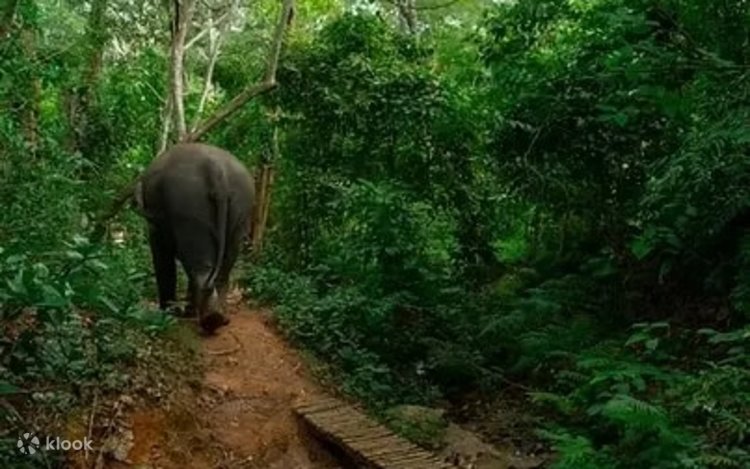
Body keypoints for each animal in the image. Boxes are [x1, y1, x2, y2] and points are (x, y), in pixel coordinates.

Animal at [133, 143, 255, 334]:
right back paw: (219, 318)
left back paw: (204, 318)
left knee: (199, 265)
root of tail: (216, 170)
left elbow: (162, 257)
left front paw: (166, 314)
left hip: (188, 205)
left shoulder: (157, 223)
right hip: (241, 208)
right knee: (223, 265)